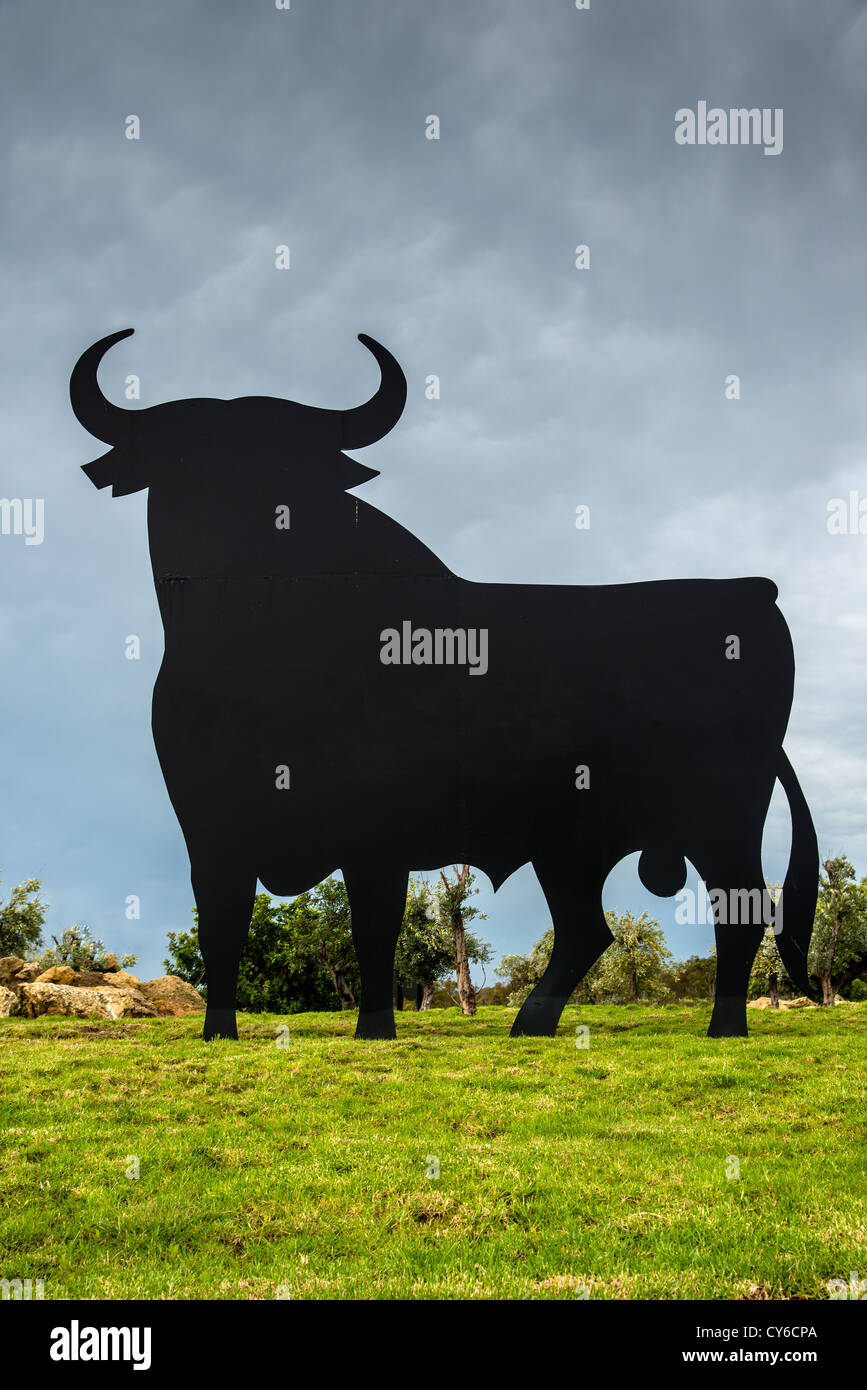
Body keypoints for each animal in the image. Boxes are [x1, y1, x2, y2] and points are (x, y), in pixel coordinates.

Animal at [71, 328, 819, 1042]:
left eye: (288, 472)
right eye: (181, 467)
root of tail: (758, 594)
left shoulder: (374, 826)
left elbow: (372, 925)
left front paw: (374, 1031)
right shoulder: (208, 821)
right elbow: (222, 925)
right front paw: (217, 1035)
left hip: (720, 811)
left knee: (738, 907)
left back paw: (723, 1028)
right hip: (569, 842)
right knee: (587, 927)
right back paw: (529, 1026)